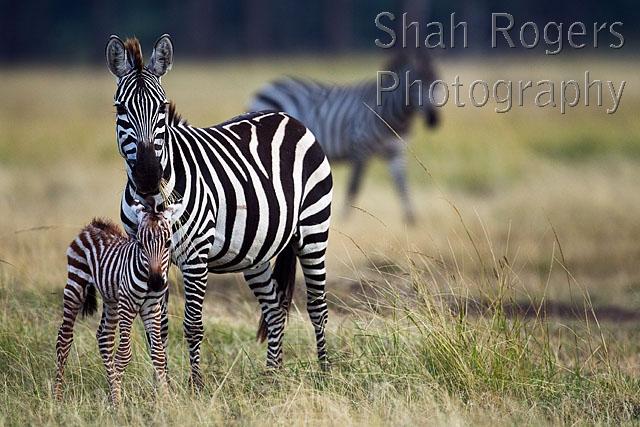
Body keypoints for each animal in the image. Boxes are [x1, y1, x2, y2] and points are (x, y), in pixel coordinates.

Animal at [54, 201, 182, 404]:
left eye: (168, 243)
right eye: (140, 244)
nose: (155, 283)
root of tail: (92, 225)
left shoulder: (151, 307)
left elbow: (159, 354)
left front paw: (166, 400)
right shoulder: (127, 306)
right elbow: (124, 355)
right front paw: (119, 404)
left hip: (111, 299)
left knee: (104, 337)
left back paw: (111, 388)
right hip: (75, 284)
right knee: (64, 339)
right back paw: (57, 397)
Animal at [105, 35, 333, 387]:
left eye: (162, 108)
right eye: (120, 109)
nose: (147, 175)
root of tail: (287, 118)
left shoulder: (196, 256)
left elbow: (192, 324)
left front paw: (196, 385)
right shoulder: (144, 257)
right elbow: (156, 326)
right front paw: (162, 385)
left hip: (313, 229)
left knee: (317, 306)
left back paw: (324, 373)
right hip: (257, 251)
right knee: (273, 307)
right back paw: (272, 376)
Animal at [249, 51, 440, 224]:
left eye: (437, 83)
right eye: (415, 85)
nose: (434, 120)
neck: (391, 115)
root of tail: (270, 85)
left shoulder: (395, 152)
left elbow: (402, 186)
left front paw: (411, 220)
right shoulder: (360, 147)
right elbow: (353, 187)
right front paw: (345, 220)